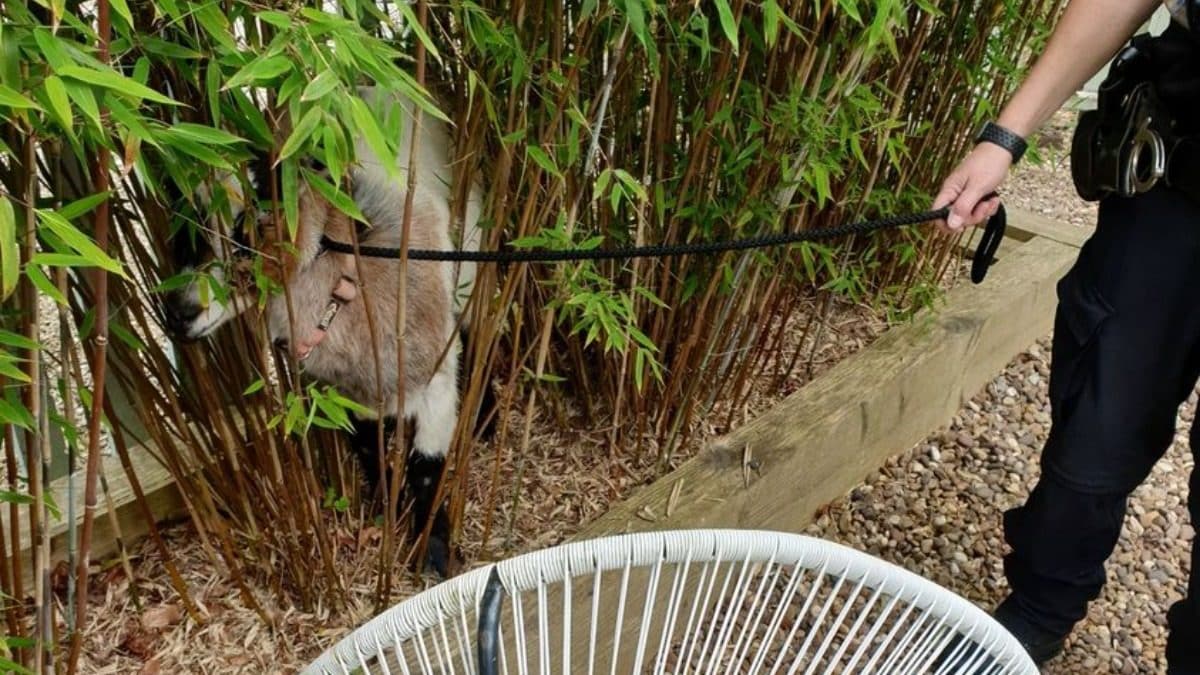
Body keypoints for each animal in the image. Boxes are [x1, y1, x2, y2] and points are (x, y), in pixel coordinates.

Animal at [163, 87, 482, 575]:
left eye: (247, 232)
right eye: (183, 234)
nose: (179, 314)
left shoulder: (437, 381)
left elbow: (426, 467)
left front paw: (433, 552)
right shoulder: (350, 394)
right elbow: (370, 450)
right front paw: (386, 505)